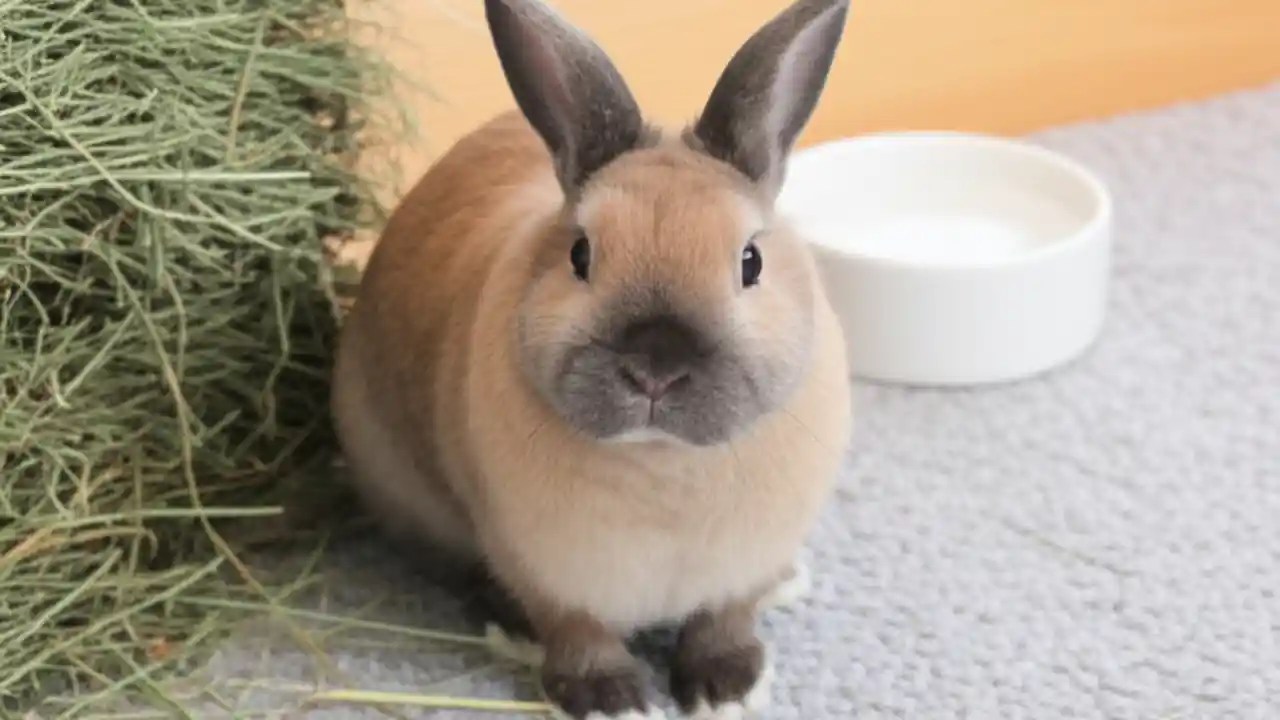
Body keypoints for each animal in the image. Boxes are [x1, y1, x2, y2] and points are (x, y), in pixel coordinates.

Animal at [330, 0, 853, 717]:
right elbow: (579, 632)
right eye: (581, 254)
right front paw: (612, 698)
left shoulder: (740, 569)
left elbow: (725, 621)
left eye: (751, 261)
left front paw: (727, 690)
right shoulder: (548, 570)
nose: (656, 367)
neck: (665, 462)